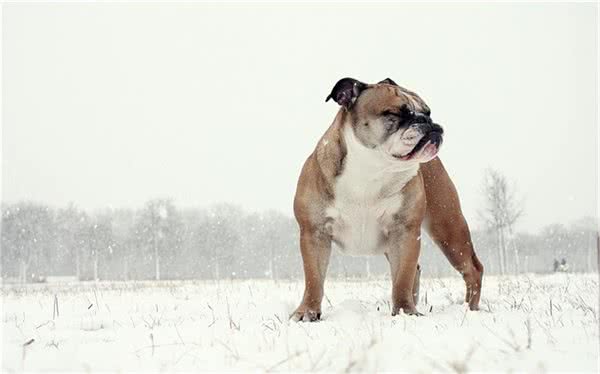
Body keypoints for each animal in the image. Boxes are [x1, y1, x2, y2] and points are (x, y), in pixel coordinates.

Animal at [290, 76, 482, 322]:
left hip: (448, 227)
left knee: (472, 269)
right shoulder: (315, 233)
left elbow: (402, 277)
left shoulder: (404, 232)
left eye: (428, 112)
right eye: (394, 113)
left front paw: (404, 312)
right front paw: (307, 313)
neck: (372, 169)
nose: (428, 122)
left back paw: (469, 309)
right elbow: (314, 278)